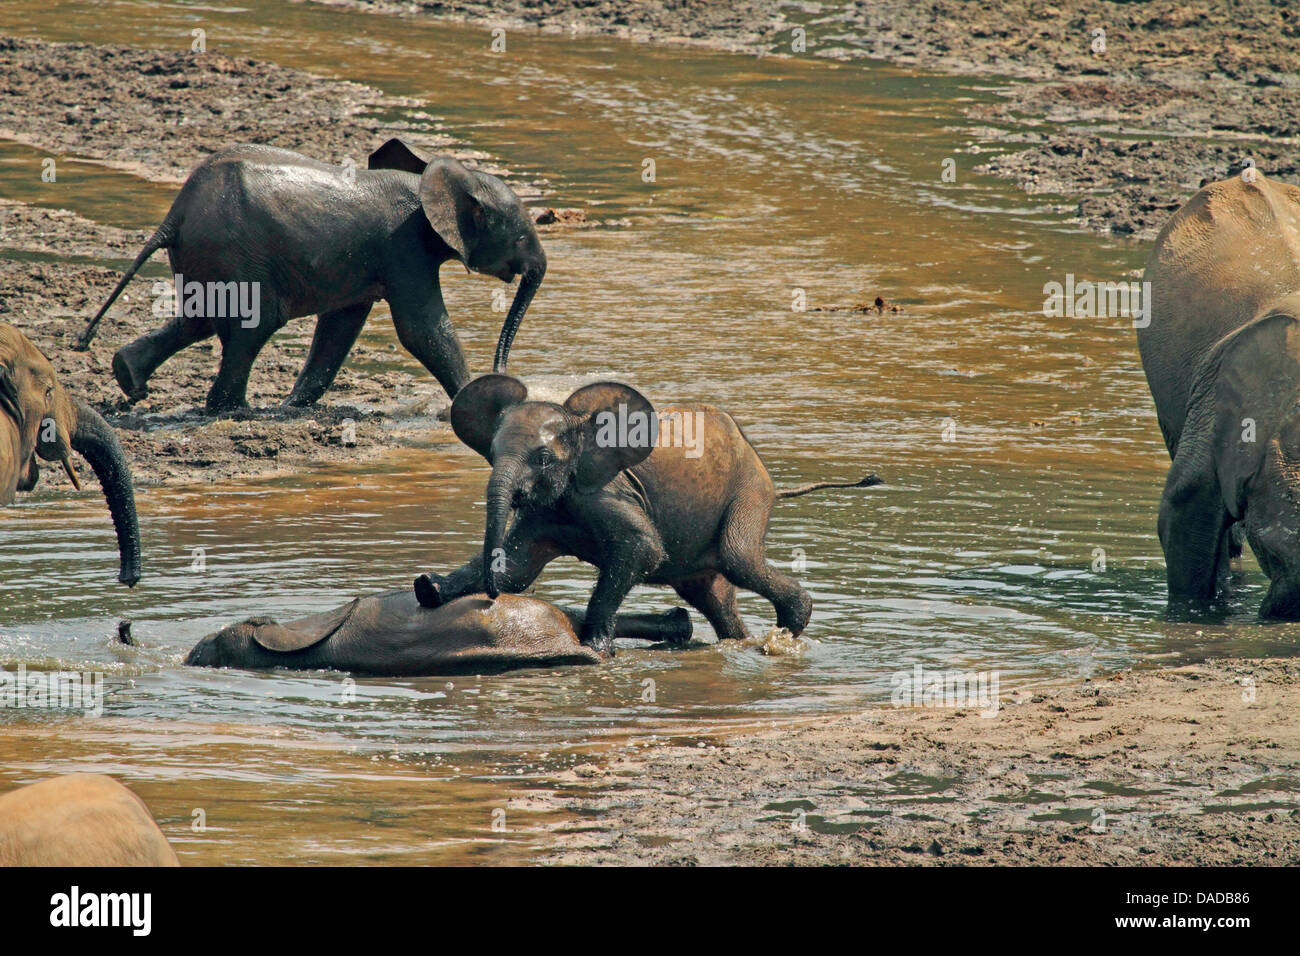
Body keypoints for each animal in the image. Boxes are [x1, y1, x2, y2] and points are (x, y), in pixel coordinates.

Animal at [77, 139, 546, 414]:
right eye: (522, 235)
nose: (507, 374)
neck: (434, 178)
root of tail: (176, 213)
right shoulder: (404, 247)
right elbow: (422, 328)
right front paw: (475, 400)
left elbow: (340, 327)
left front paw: (293, 405)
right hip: (236, 255)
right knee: (251, 325)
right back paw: (233, 411)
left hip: (208, 257)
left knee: (199, 319)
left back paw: (129, 377)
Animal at [413, 374, 881, 656]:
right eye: (491, 455)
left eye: (543, 459)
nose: (490, 598)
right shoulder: (548, 508)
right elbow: (517, 568)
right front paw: (428, 588)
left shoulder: (605, 490)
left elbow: (643, 548)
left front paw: (596, 647)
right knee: (714, 596)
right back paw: (743, 642)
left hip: (749, 490)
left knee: (738, 559)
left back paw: (787, 632)